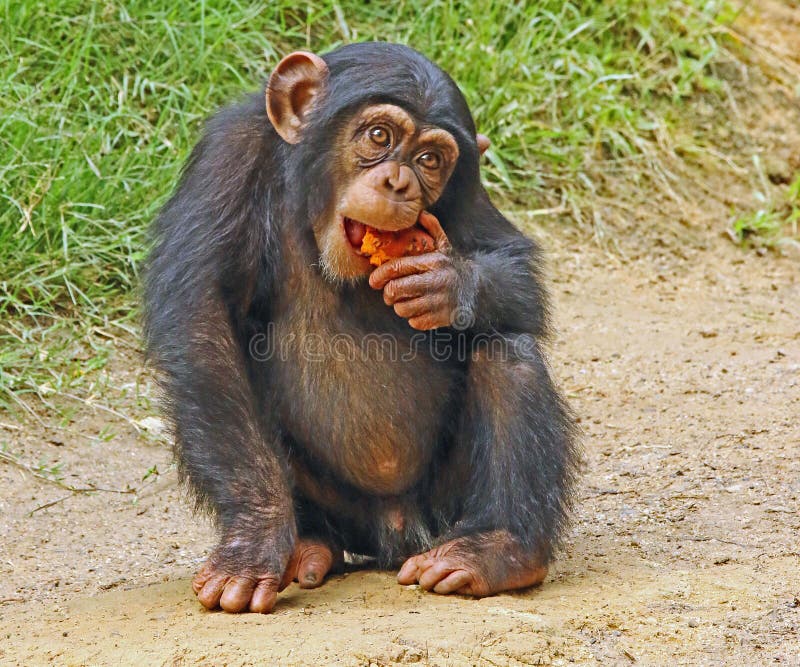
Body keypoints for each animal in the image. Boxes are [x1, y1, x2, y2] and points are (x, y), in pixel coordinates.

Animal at [144, 42, 578, 614]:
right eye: (378, 136)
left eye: (430, 160)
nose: (399, 181)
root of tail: (394, 532)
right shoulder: (226, 158)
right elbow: (204, 324)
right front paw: (254, 542)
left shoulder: (466, 195)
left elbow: (514, 265)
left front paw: (448, 284)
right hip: (344, 510)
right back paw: (307, 547)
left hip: (443, 509)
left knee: (507, 352)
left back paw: (496, 550)